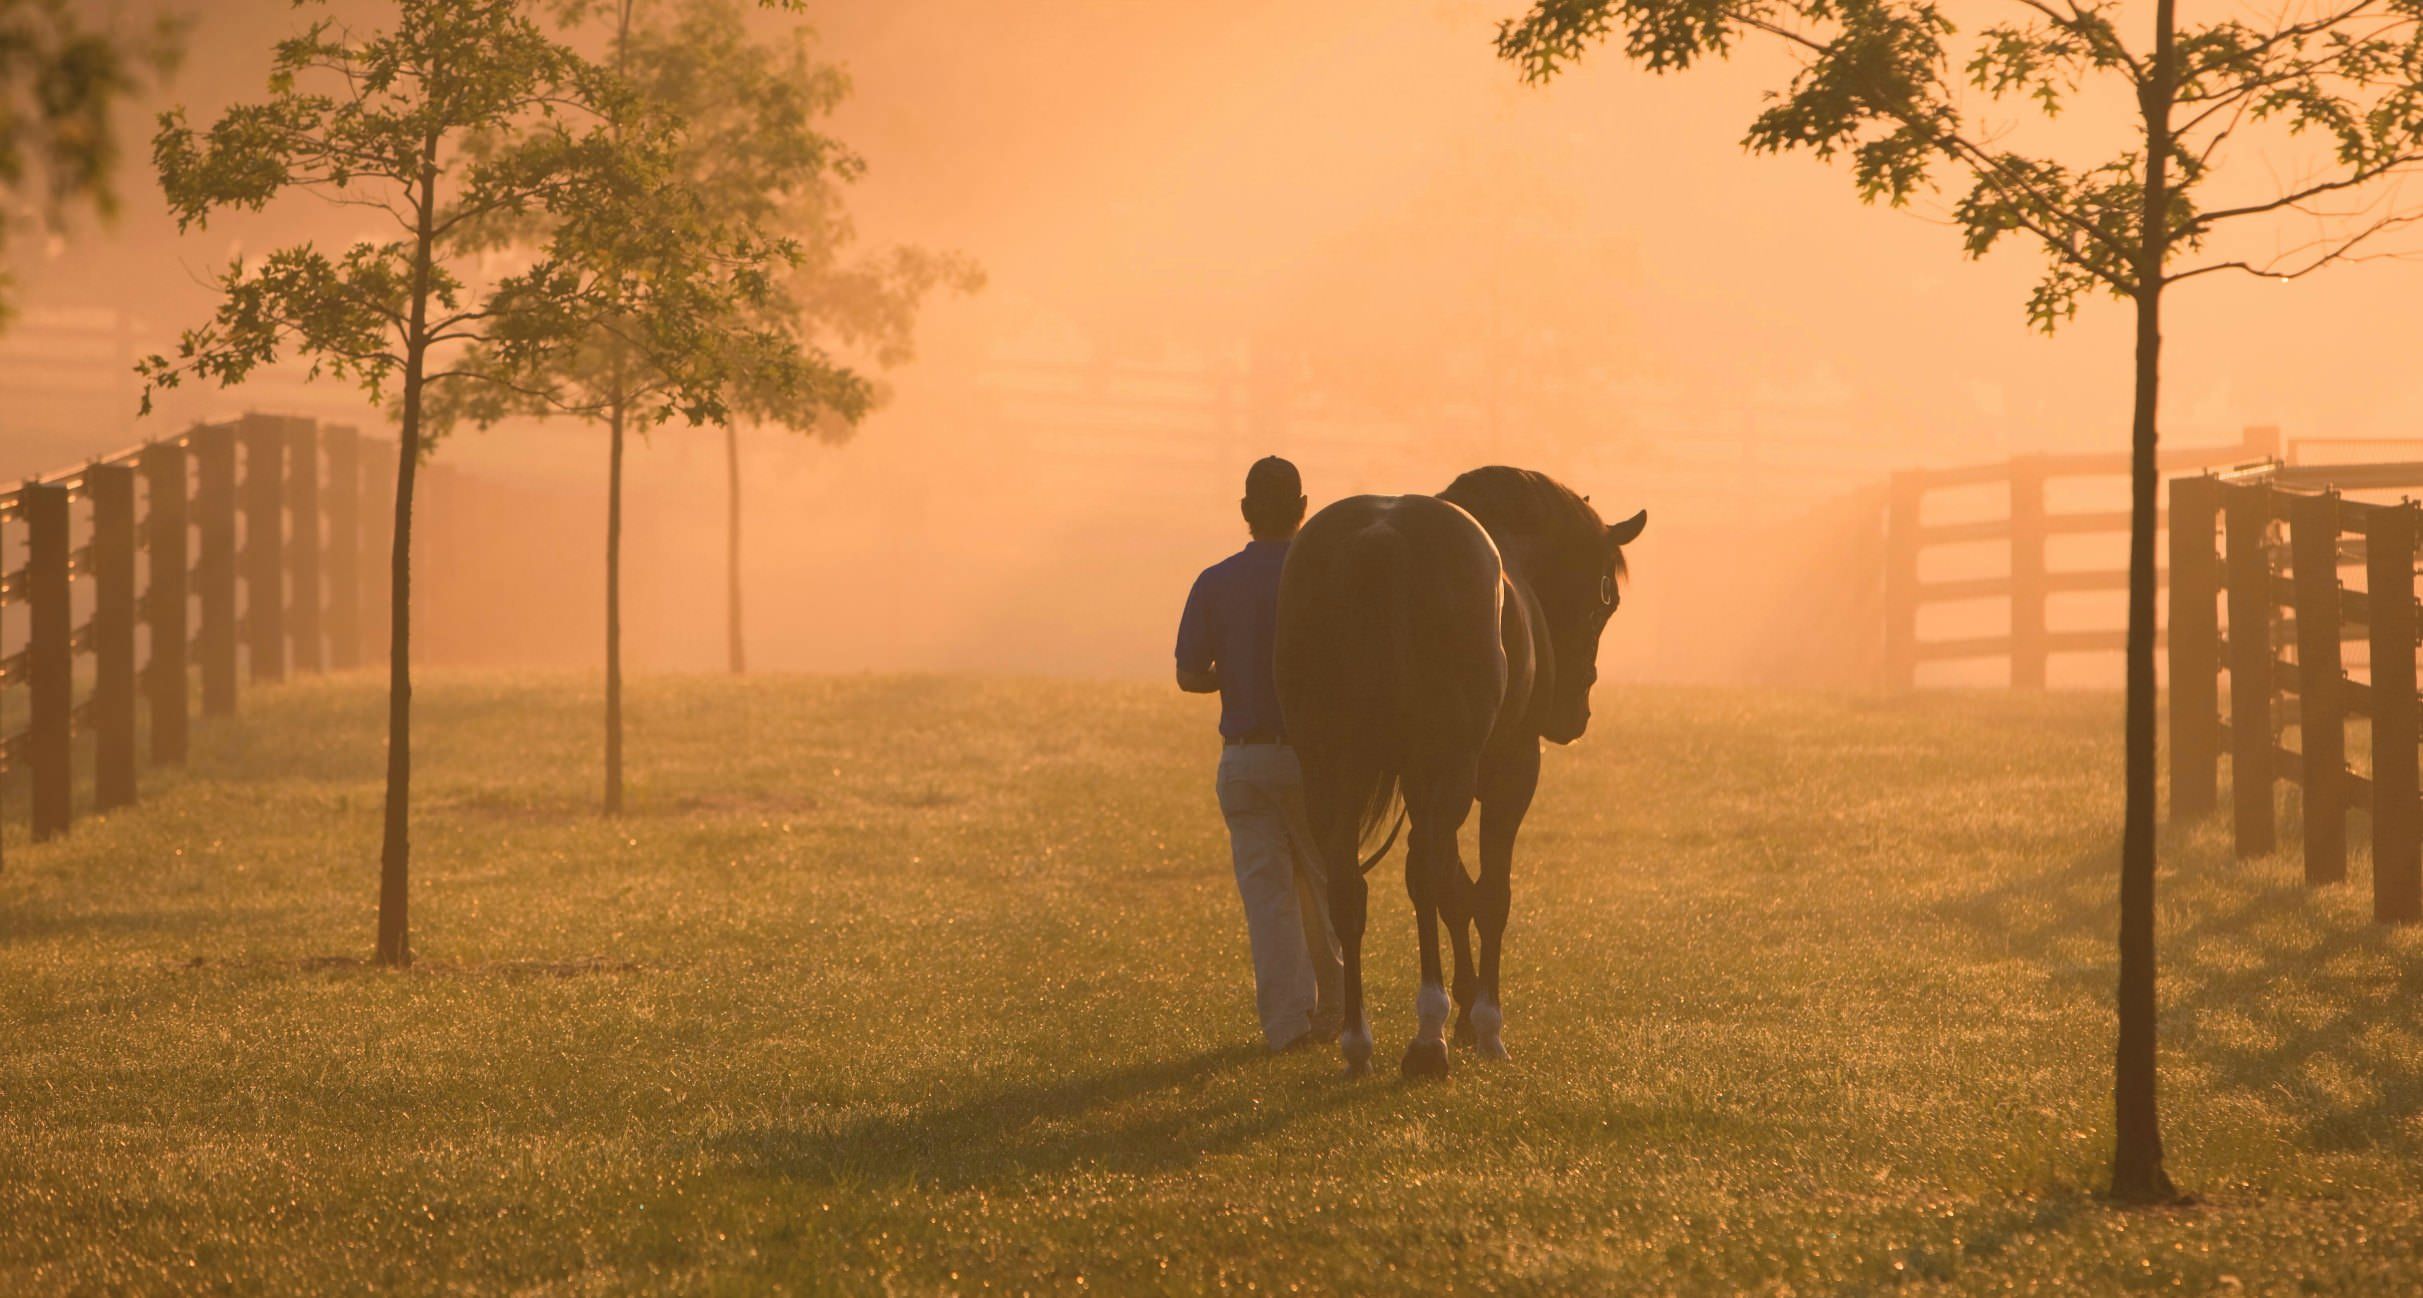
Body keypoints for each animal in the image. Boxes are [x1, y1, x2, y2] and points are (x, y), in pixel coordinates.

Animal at [1275, 466, 1645, 1078]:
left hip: (1331, 773)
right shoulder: (1508, 773)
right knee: (1425, 876)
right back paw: (1428, 1037)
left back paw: (1359, 1041)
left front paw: (1469, 1008)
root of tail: (1382, 539)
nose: (1574, 715)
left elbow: (1455, 891)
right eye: (1603, 605)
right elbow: (1487, 893)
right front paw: (1485, 1022)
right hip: (1443, 769)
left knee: (1350, 888)